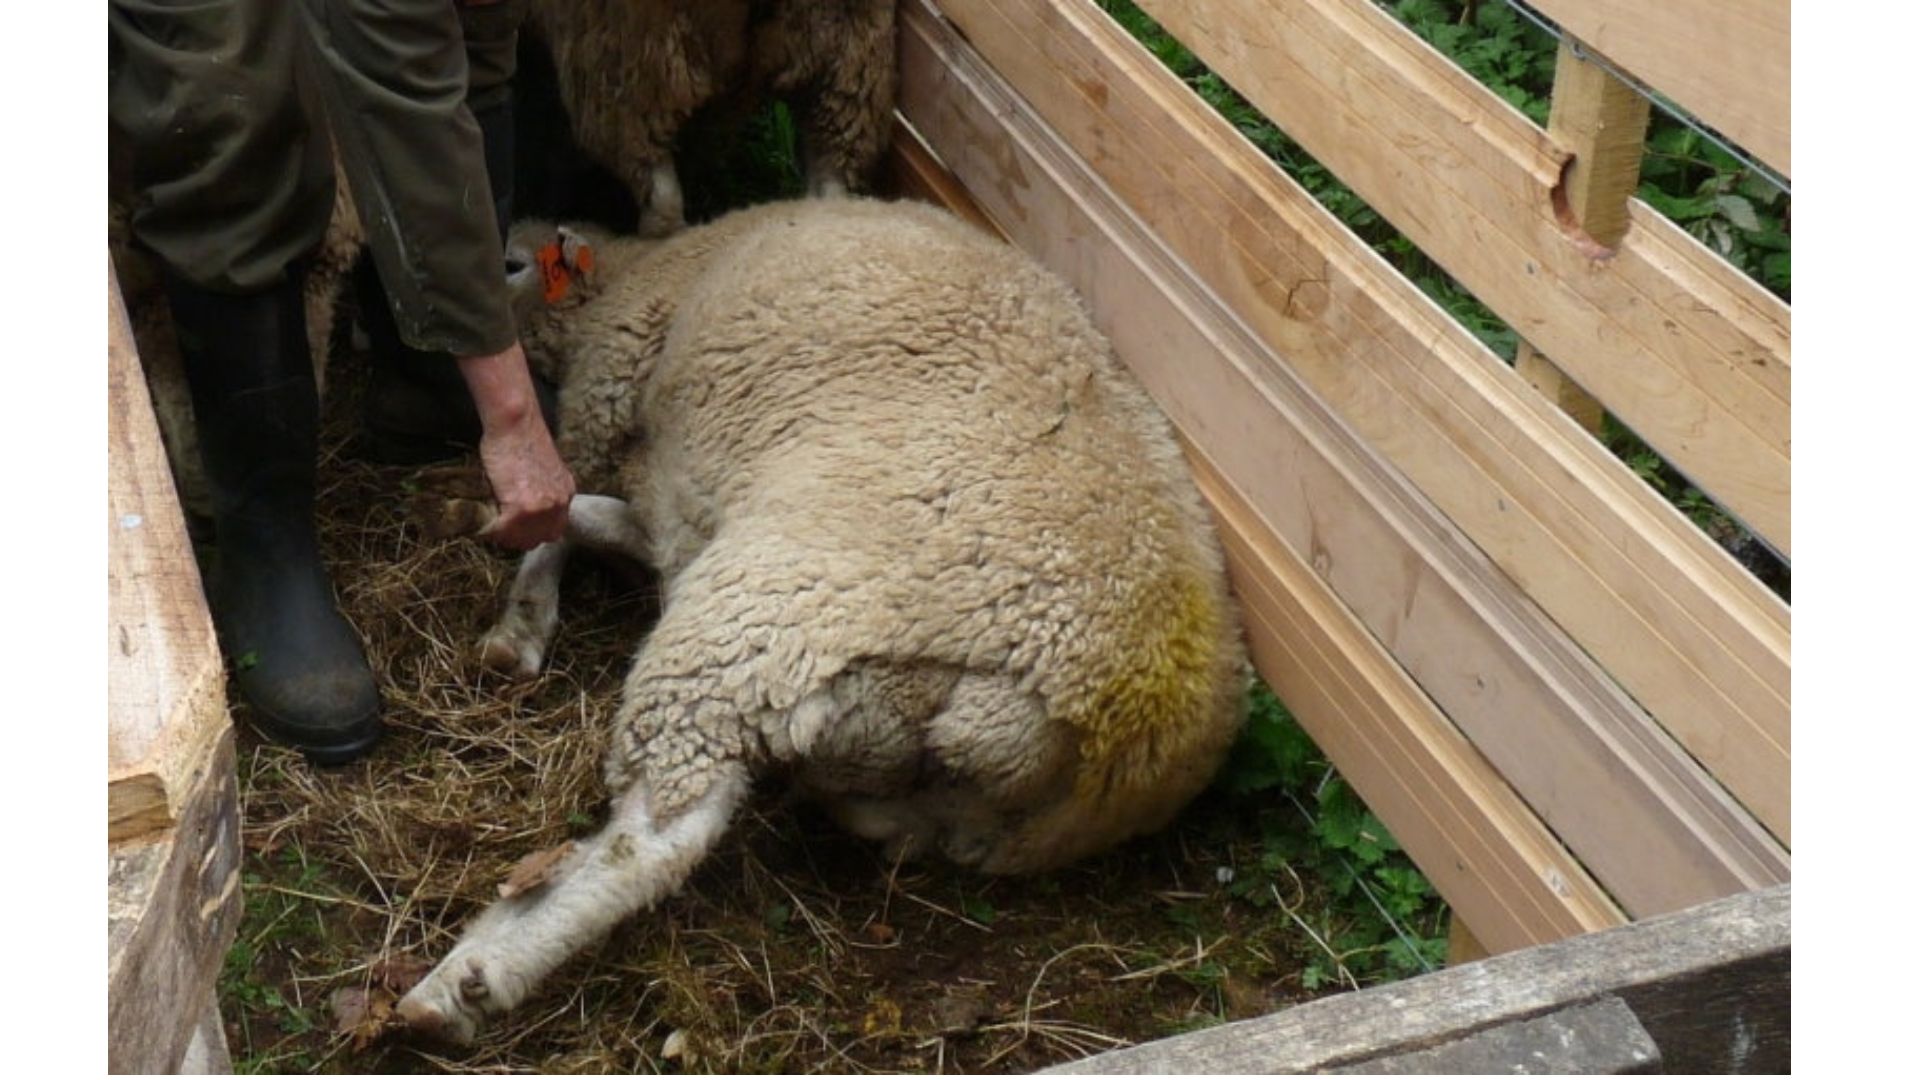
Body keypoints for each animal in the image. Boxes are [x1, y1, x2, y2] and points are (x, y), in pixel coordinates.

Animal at [395, 197, 1249, 1043]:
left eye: (511, 264)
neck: (644, 266)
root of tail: (1121, 718)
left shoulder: (613, 410)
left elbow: (562, 505)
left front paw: (515, 605)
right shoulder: (680, 513)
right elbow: (602, 518)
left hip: (761, 618)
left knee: (660, 833)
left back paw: (466, 982)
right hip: (925, 782)